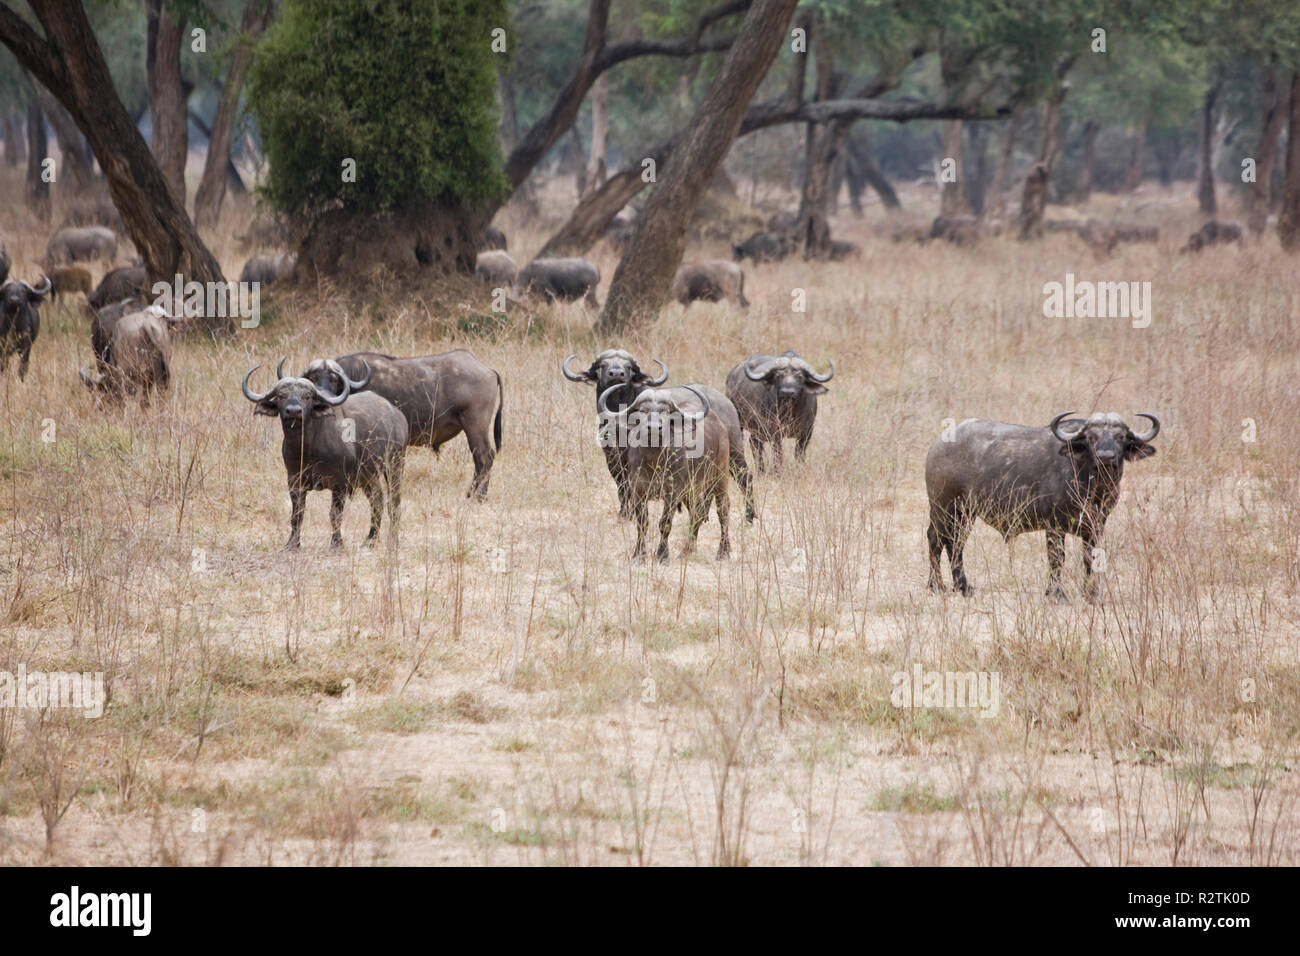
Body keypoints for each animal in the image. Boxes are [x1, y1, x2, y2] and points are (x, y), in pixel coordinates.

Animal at [244, 361, 408, 551]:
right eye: (281, 396)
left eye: (307, 396)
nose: (294, 411)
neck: (307, 448)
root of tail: (398, 416)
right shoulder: (294, 481)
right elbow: (297, 515)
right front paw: (292, 544)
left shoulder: (340, 483)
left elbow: (335, 514)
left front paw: (336, 544)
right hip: (368, 475)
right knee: (377, 500)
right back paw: (370, 539)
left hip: (395, 465)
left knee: (393, 503)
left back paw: (392, 540)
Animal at [302, 350, 503, 499]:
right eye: (313, 378)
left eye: (333, 378)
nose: (322, 395)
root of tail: (488, 370)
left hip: (475, 426)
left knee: (484, 457)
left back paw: (478, 496)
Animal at [563, 350, 755, 523]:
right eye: (603, 365)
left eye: (628, 367)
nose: (617, 373)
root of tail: (726, 401)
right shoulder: (613, 460)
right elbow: (622, 488)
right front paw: (624, 515)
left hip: (734, 451)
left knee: (745, 477)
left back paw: (749, 516)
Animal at [599, 384, 731, 561]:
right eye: (643, 410)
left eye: (666, 411)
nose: (654, 428)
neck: (653, 461)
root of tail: (720, 425)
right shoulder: (637, 490)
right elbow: (642, 523)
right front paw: (639, 555)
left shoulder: (673, 492)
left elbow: (665, 523)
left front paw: (662, 555)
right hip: (691, 490)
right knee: (696, 513)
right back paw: (687, 551)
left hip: (720, 477)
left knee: (723, 511)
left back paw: (723, 552)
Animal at [924, 412, 1160, 601]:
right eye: (1091, 438)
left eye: (1120, 437)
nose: (1106, 457)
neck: (1092, 485)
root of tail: (938, 444)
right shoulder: (1054, 525)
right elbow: (1057, 558)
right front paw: (1057, 594)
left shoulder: (1096, 525)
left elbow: (1090, 558)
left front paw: (1091, 594)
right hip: (943, 508)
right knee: (936, 540)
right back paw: (937, 585)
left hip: (965, 513)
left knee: (955, 544)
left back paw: (962, 587)